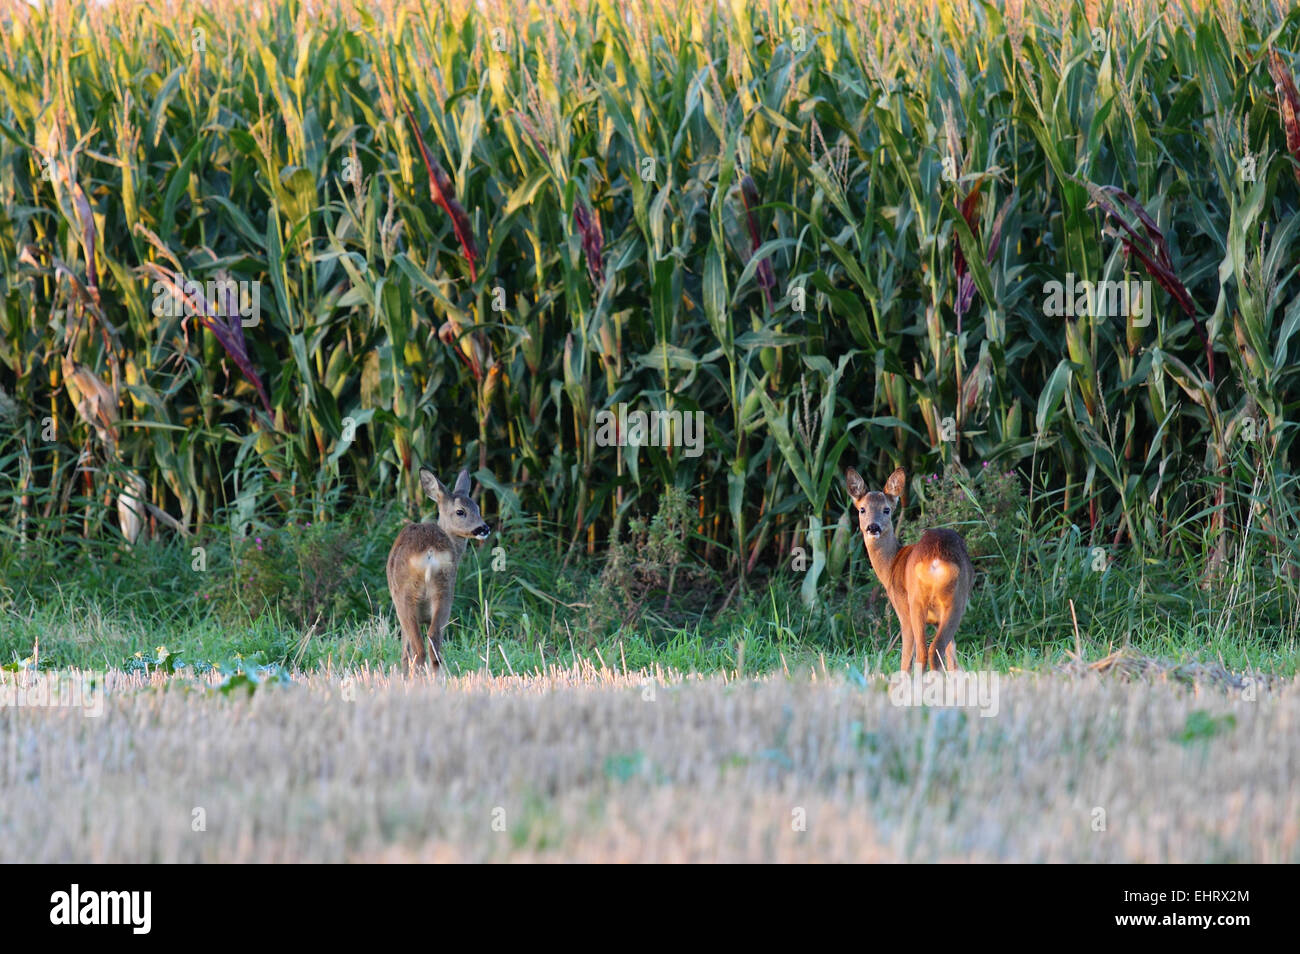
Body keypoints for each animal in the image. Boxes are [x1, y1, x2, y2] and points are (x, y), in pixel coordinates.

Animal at [386, 467, 491, 674]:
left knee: (418, 649)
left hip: (406, 597)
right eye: (461, 511)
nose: (484, 528)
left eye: (477, 508)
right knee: (434, 644)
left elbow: (405, 651)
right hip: (444, 592)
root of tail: (430, 551)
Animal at [845, 467, 973, 673]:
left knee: (925, 651)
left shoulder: (901, 605)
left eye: (886, 509)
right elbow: (953, 658)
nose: (873, 527)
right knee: (940, 651)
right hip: (948, 603)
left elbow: (906, 656)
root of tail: (936, 560)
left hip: (920, 602)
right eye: (862, 509)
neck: (892, 564)